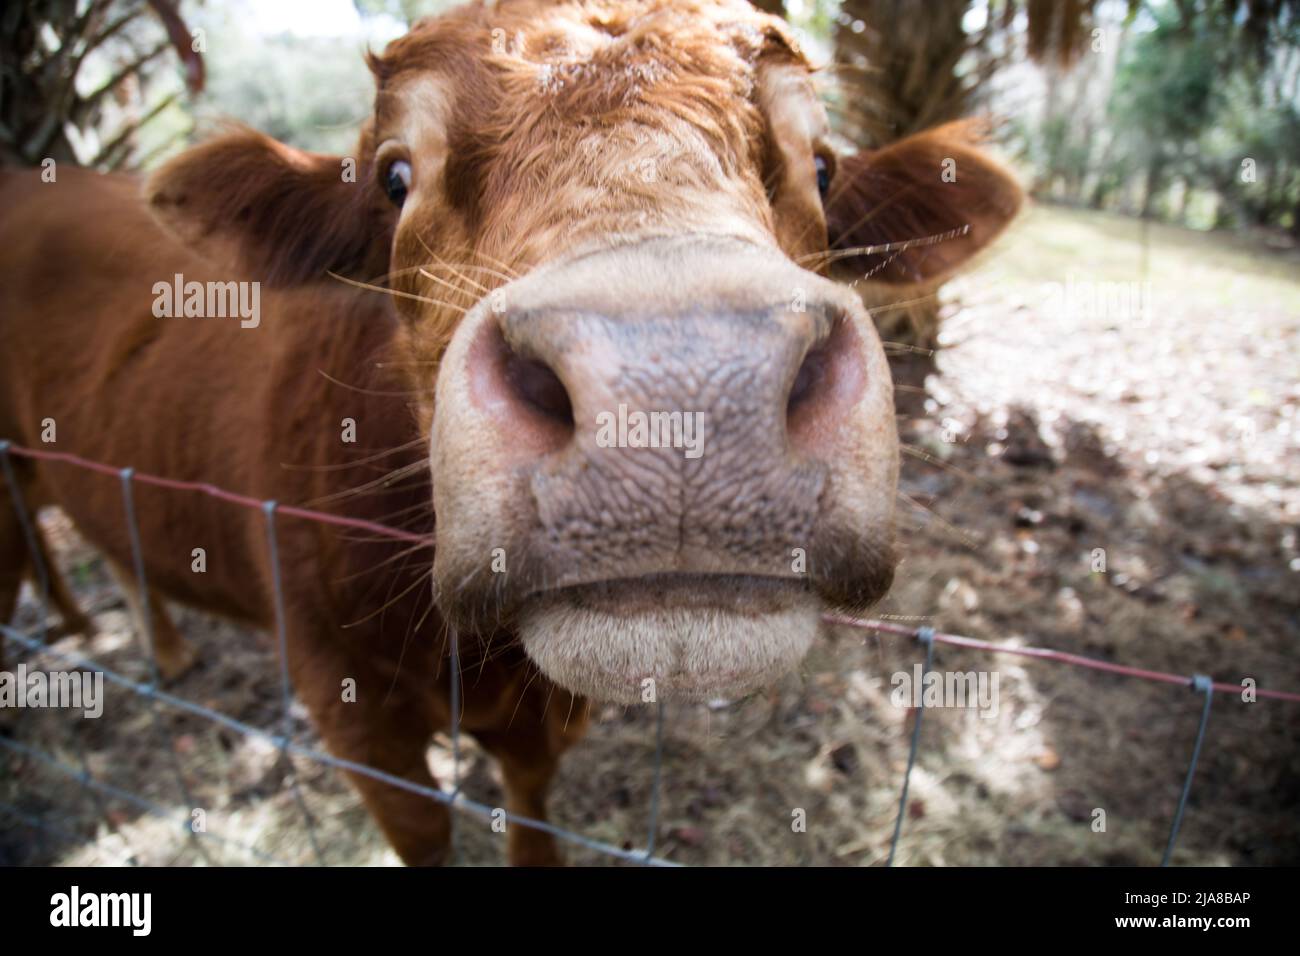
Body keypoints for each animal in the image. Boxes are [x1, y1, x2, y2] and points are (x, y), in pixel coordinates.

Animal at [0, 0, 1020, 864]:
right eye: (395, 176)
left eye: (823, 165)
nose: (680, 387)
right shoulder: (351, 710)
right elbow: (424, 833)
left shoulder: (537, 727)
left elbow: (530, 811)